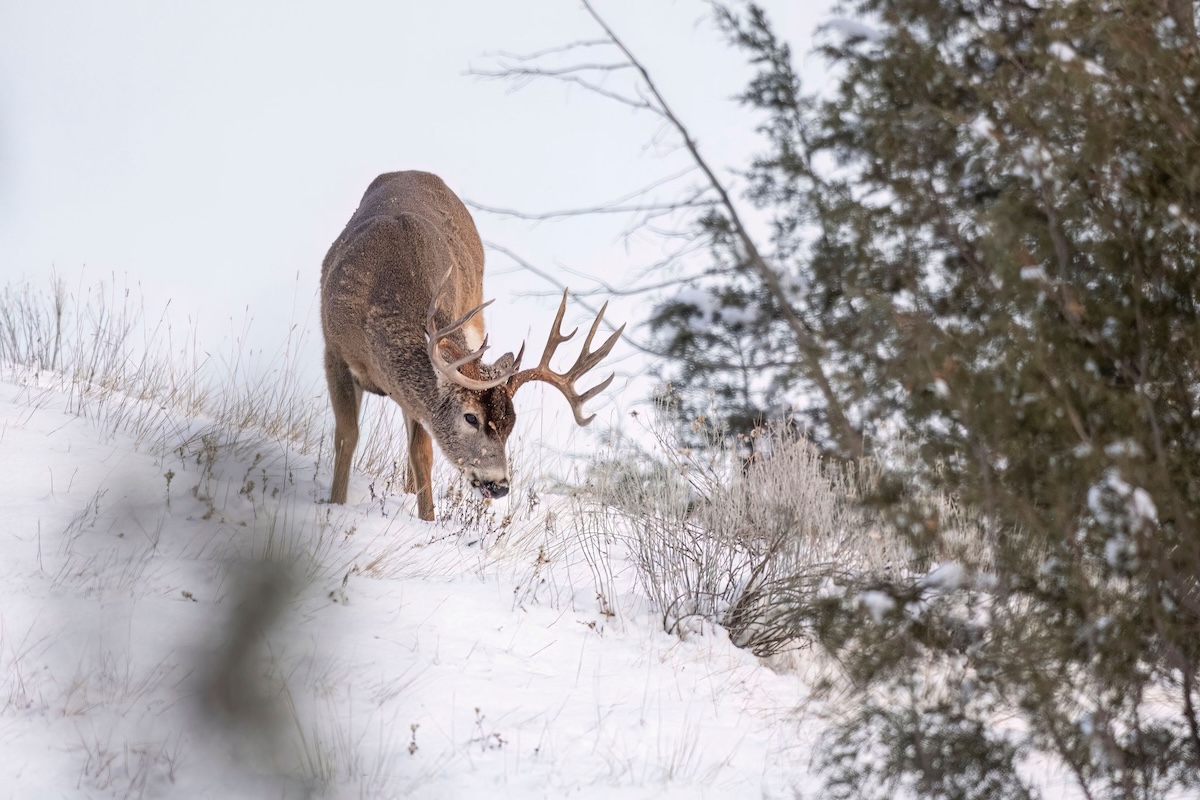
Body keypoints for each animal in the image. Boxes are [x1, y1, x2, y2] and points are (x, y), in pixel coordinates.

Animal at [320, 171, 623, 521]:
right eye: (470, 418)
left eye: (510, 425)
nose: (500, 485)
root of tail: (416, 172)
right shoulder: (334, 351)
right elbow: (347, 437)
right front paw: (334, 504)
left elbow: (421, 453)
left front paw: (427, 519)